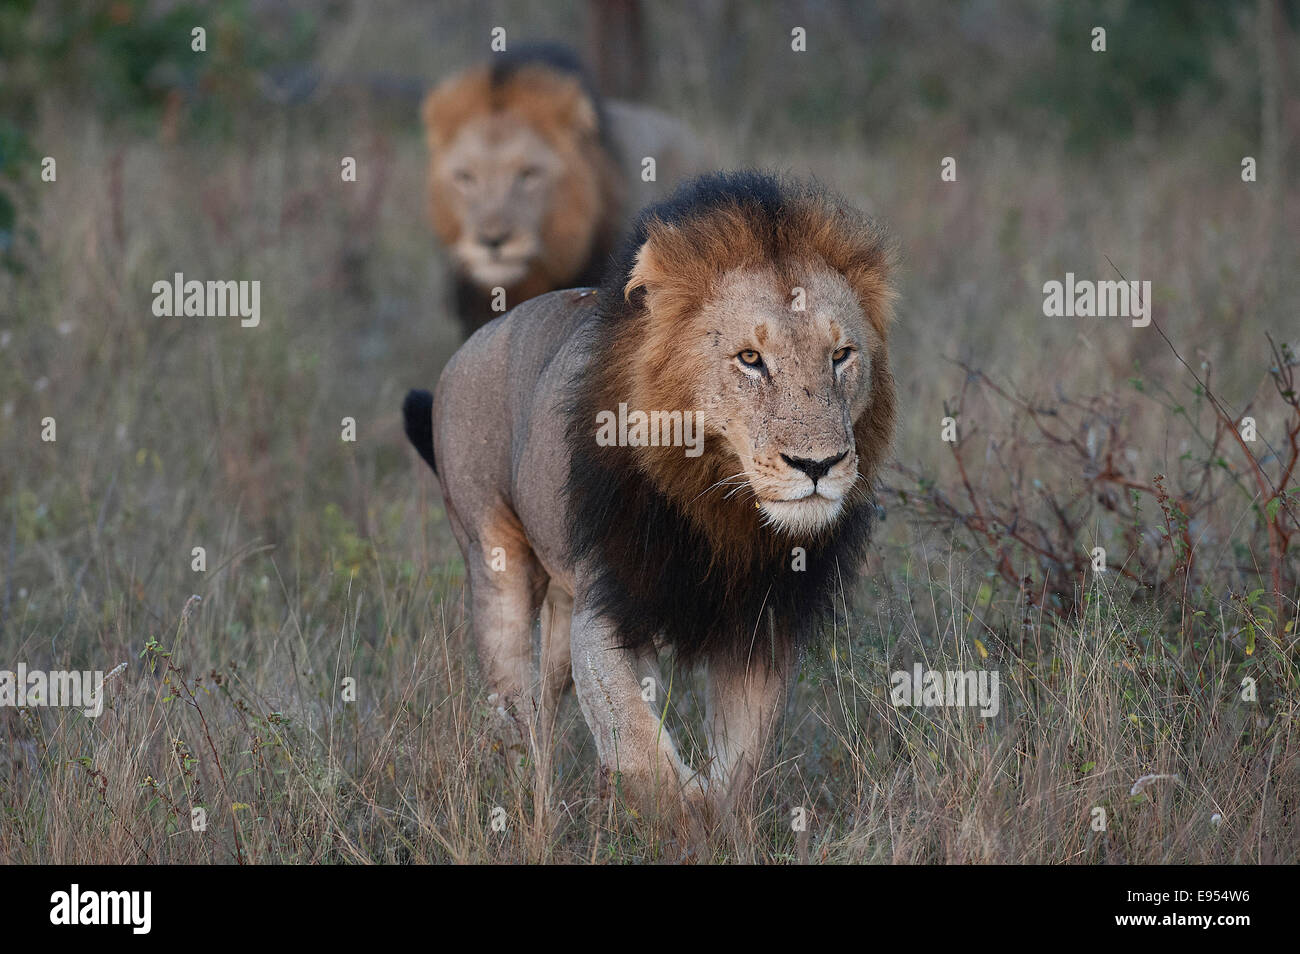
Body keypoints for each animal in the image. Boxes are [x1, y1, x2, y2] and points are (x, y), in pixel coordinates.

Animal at [403, 171, 896, 830]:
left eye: (841, 356)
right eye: (750, 359)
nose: (817, 466)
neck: (722, 507)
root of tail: (475, 342)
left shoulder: (759, 626)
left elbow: (741, 762)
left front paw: (716, 817)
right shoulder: (610, 603)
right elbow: (636, 744)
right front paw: (681, 815)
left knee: (545, 701)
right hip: (494, 564)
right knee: (515, 714)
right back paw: (531, 811)